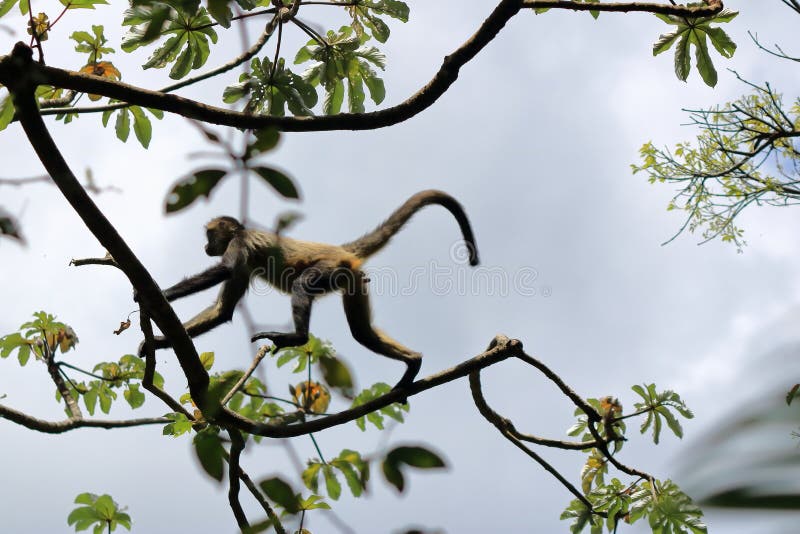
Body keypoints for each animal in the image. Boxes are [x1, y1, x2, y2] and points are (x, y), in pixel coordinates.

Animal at [141, 190, 479, 390]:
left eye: (210, 236)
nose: (205, 246)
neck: (243, 232)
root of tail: (340, 250)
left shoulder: (240, 244)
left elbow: (223, 270)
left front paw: (158, 295)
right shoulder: (244, 265)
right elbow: (222, 311)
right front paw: (156, 342)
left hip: (329, 268)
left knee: (303, 285)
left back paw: (298, 338)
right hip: (352, 279)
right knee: (362, 333)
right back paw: (413, 363)